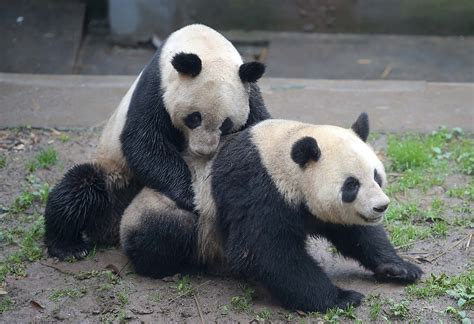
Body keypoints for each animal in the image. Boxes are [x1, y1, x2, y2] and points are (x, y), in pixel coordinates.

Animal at [43, 23, 270, 260]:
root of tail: (112, 226)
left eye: (226, 124)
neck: (204, 43)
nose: (202, 150)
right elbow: (143, 142)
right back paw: (68, 246)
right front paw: (189, 196)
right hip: (115, 172)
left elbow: (258, 125)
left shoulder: (249, 91)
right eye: (194, 118)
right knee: (78, 189)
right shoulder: (156, 87)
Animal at [119, 112, 422, 312]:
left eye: (376, 176)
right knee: (166, 228)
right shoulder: (258, 186)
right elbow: (266, 250)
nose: (380, 206)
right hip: (177, 208)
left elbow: (356, 233)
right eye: (351, 185)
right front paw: (341, 298)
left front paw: (400, 268)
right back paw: (168, 265)